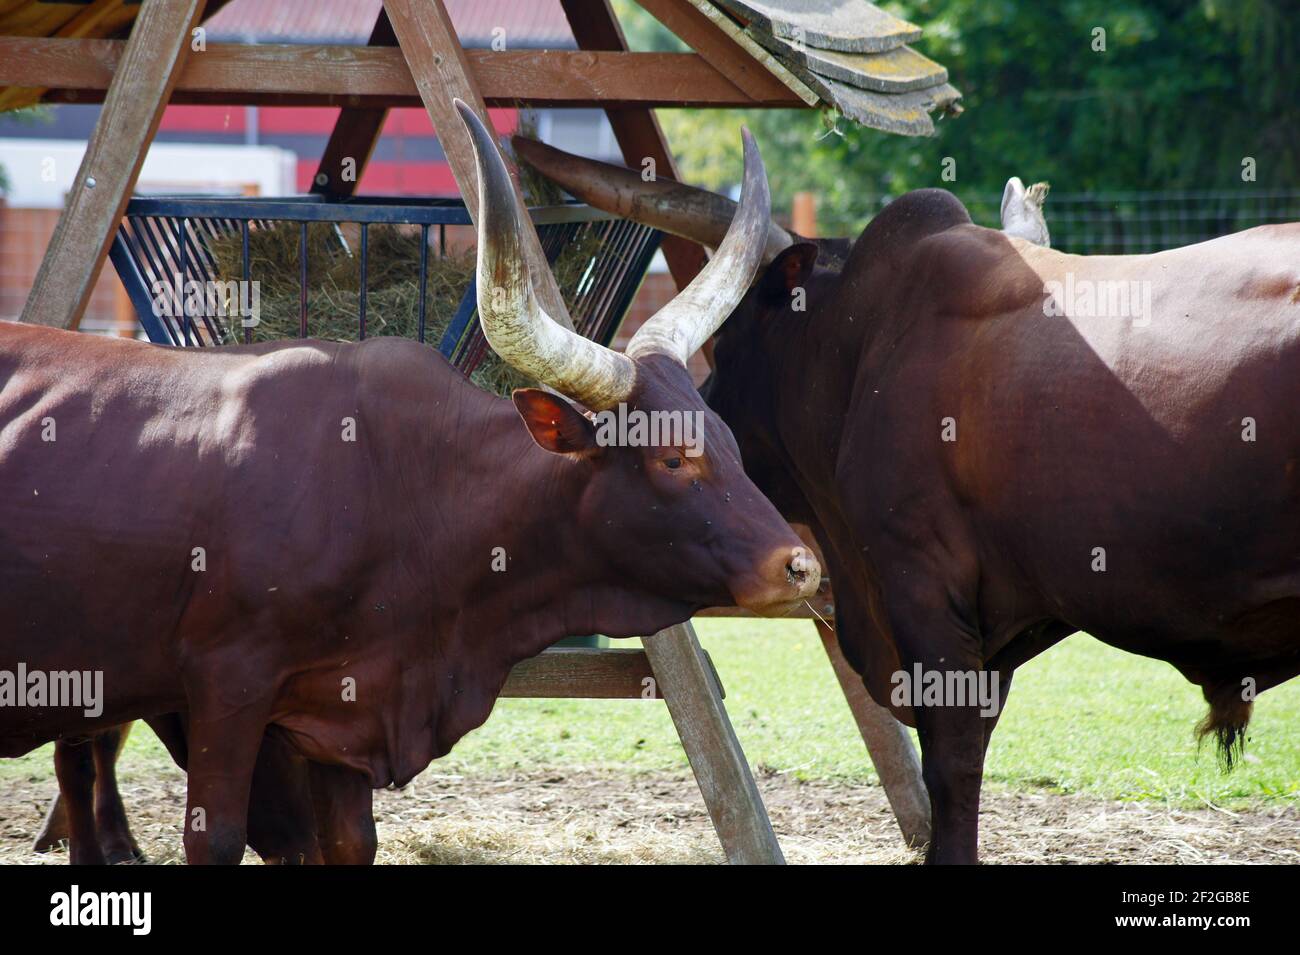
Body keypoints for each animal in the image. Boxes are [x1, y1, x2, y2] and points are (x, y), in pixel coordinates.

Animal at [1, 103, 820, 865]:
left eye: (728, 443)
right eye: (673, 460)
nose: (800, 567)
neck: (404, 491)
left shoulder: (340, 714)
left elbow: (348, 841)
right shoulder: (227, 689)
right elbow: (218, 837)